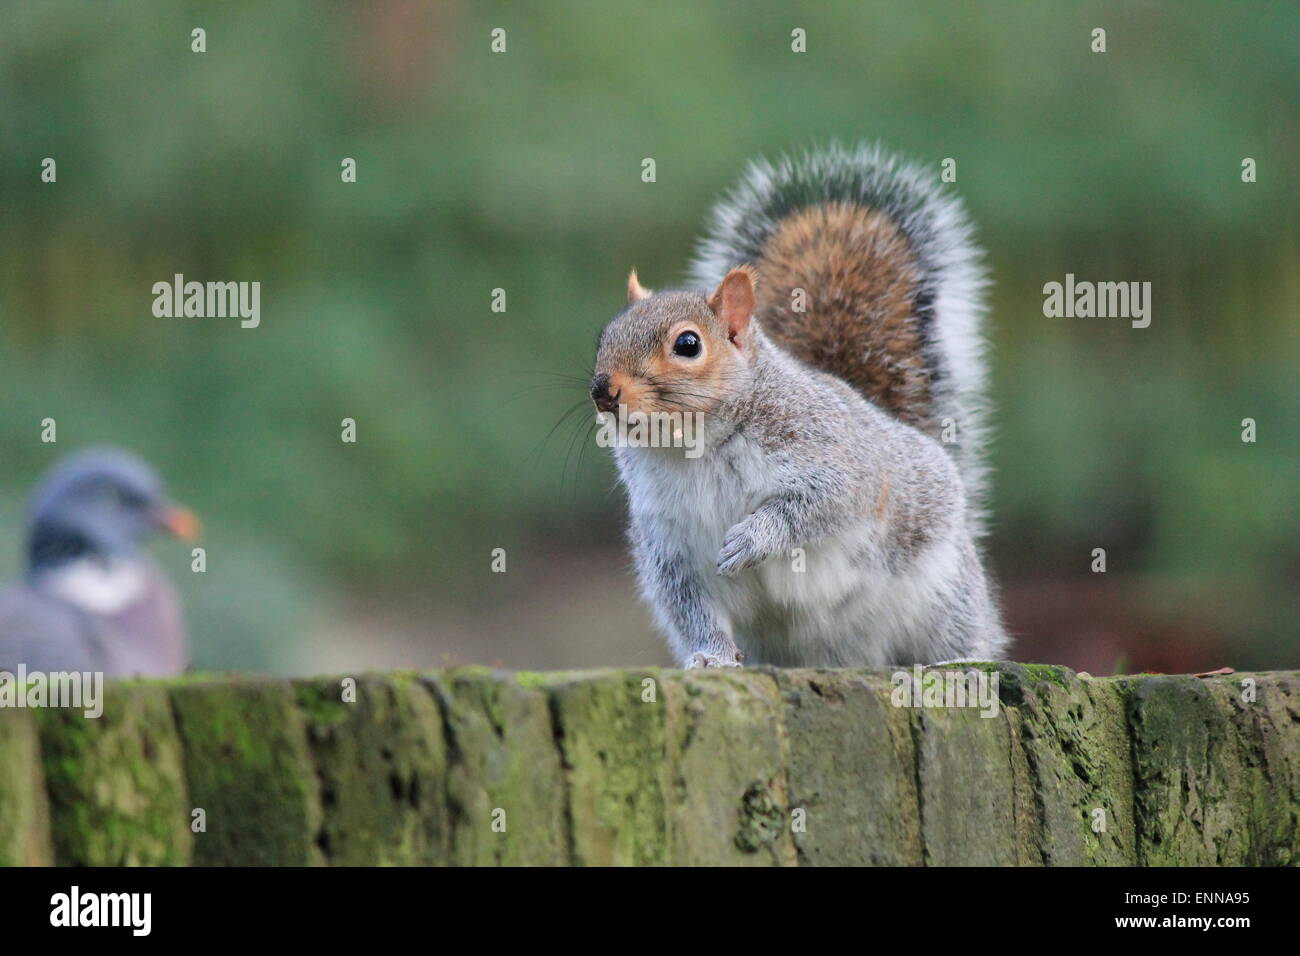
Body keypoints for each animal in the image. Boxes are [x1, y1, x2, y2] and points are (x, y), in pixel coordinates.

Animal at [591, 143, 1008, 669]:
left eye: (688, 344)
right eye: (603, 337)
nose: (602, 390)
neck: (695, 445)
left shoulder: (833, 457)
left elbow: (819, 505)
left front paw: (752, 538)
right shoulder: (672, 548)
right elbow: (695, 610)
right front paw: (710, 658)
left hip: (943, 591)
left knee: (964, 634)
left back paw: (959, 661)